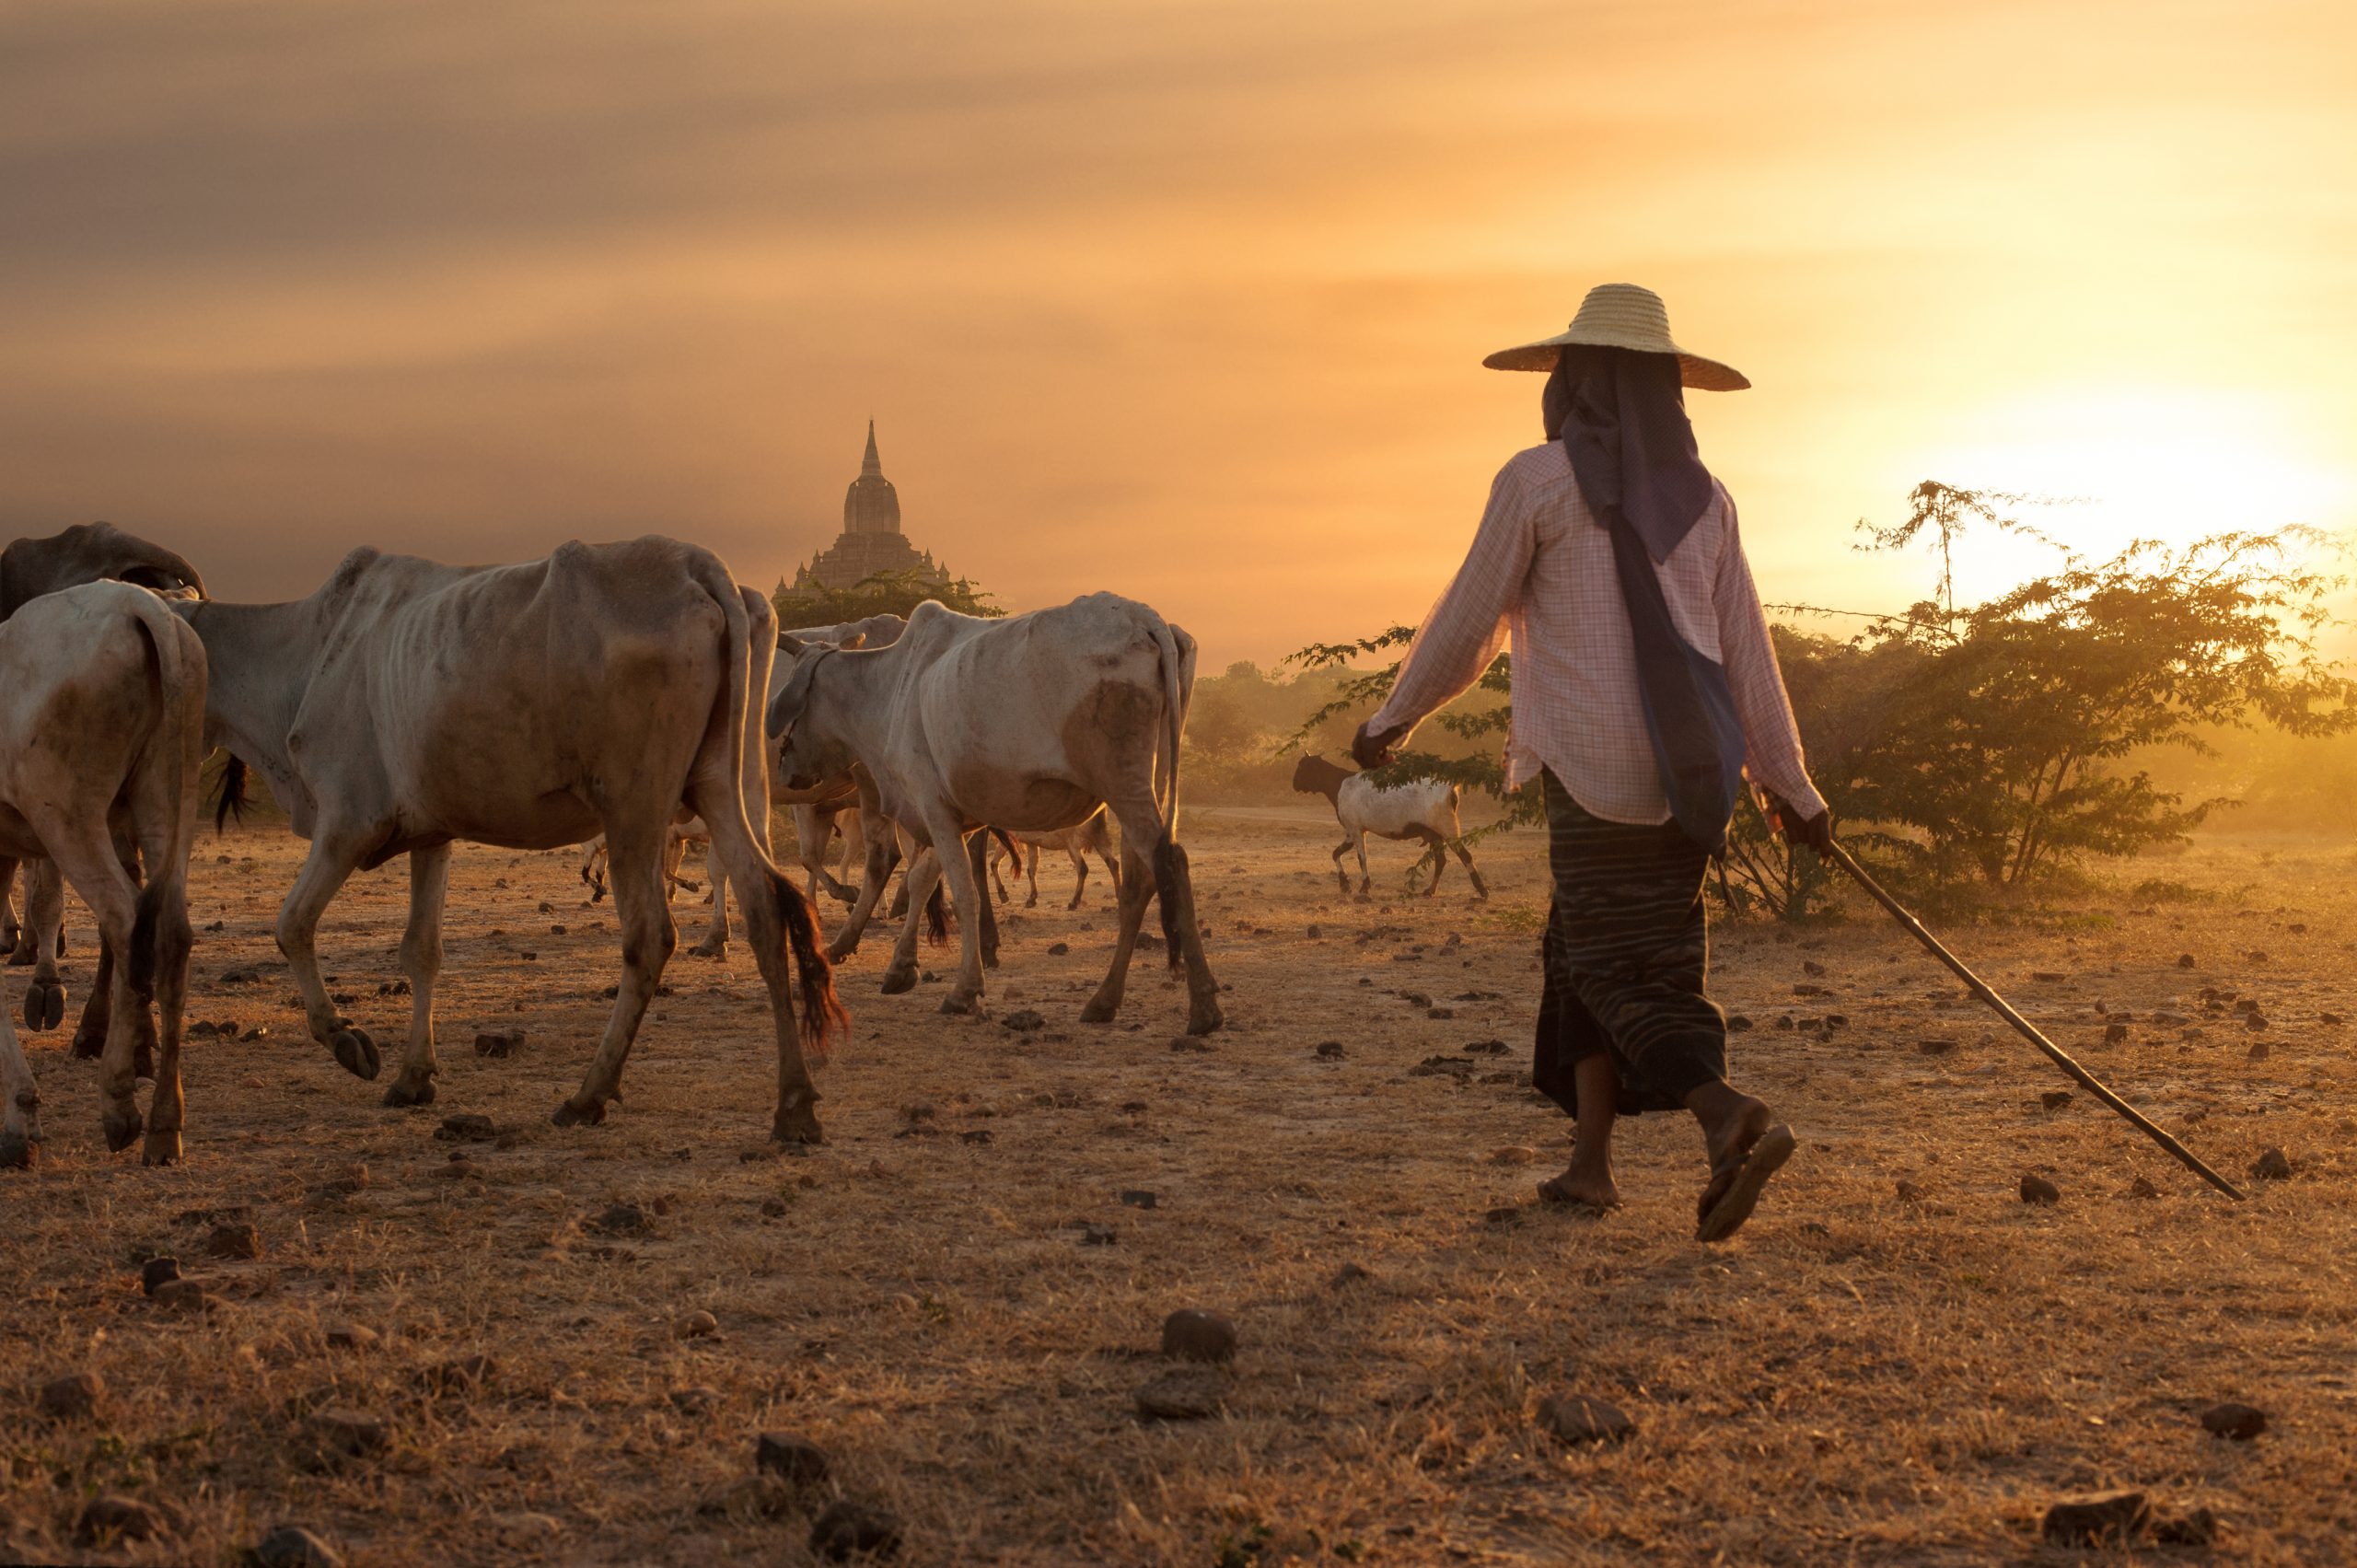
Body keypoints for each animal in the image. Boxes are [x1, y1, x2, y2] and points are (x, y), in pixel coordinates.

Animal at [0, 583, 205, 1166]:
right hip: (169, 803)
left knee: (123, 919)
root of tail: (141, 605)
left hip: (70, 818)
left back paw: (120, 1103)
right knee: (173, 935)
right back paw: (165, 1125)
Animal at [181, 539, 843, 1142]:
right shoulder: (431, 833)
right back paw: (794, 1104)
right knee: (766, 911)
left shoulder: (347, 823)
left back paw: (589, 1094)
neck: (312, 646)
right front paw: (413, 1076)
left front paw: (349, 1041)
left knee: (650, 936)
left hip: (633, 807)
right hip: (727, 789)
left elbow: (292, 925)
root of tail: (698, 565)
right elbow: (421, 950)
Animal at [987, 809, 1120, 910]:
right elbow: (1031, 870)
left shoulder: (1007, 838)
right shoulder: (1032, 844)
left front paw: (1003, 895)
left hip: (1073, 844)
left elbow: (994, 863)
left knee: (1083, 869)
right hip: (1099, 840)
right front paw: (1031, 899)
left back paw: (1074, 902)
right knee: (1113, 864)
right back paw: (1119, 895)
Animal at [1291, 754, 1488, 900]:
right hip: (1433, 833)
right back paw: (1429, 891)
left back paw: (1482, 890)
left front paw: (1364, 887)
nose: (1294, 784)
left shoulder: (1355, 828)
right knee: (1441, 860)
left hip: (1447, 826)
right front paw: (1345, 885)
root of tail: (1450, 789)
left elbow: (1361, 858)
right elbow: (1336, 853)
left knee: (1465, 855)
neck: (1339, 784)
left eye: (1302, 767)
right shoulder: (1352, 831)